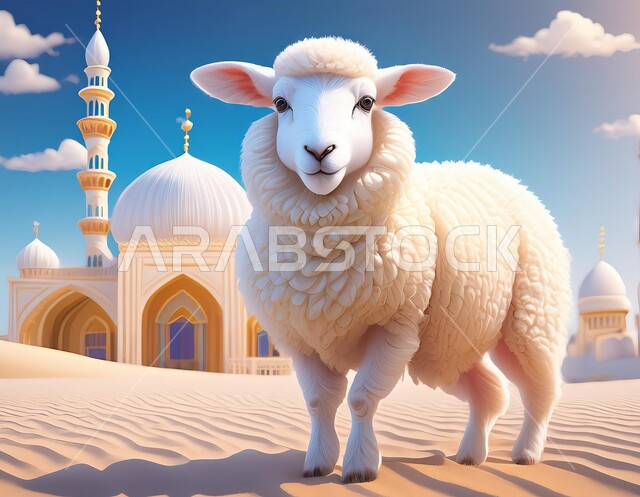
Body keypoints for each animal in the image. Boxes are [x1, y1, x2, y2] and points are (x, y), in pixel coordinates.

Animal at [191, 37, 571, 484]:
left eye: (368, 102)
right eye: (280, 103)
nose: (319, 151)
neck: (324, 255)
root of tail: (503, 176)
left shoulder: (394, 326)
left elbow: (360, 400)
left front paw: (360, 467)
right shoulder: (298, 337)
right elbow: (319, 402)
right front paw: (317, 464)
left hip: (531, 317)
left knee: (540, 390)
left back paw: (526, 453)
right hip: (445, 345)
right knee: (490, 392)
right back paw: (469, 456)